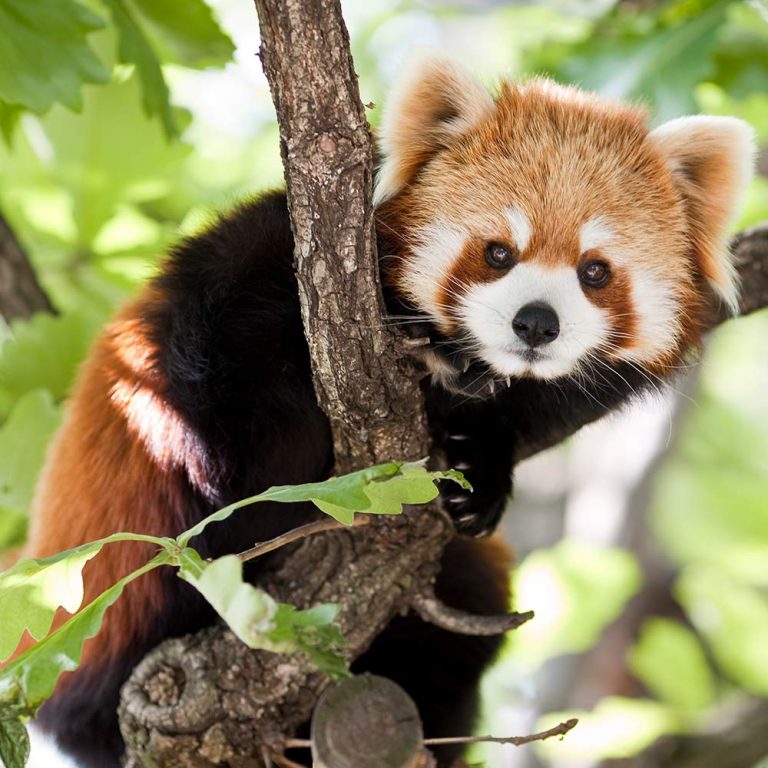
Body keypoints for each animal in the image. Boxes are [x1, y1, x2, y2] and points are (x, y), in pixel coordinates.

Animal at [16, 57, 754, 767]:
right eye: (498, 253)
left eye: (594, 271)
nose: (536, 322)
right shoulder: (230, 303)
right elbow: (235, 421)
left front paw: (480, 470)